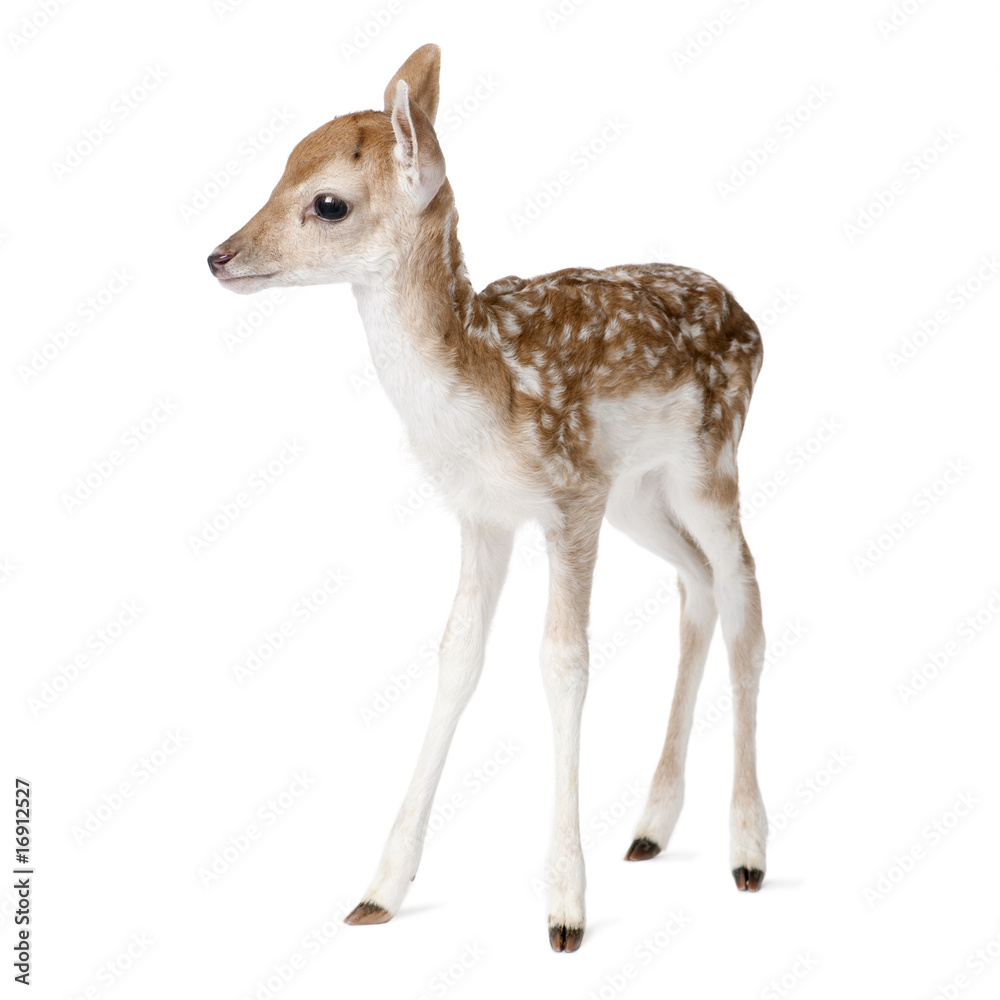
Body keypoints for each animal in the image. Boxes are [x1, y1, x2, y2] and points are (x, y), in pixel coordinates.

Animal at [208, 43, 768, 953]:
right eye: (278, 168)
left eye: (327, 201)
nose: (219, 256)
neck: (485, 387)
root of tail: (752, 319)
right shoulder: (484, 514)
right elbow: (457, 658)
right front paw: (379, 891)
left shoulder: (570, 497)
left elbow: (564, 664)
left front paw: (565, 910)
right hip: (640, 493)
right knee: (698, 584)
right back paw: (650, 829)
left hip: (710, 462)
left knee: (746, 596)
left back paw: (747, 852)